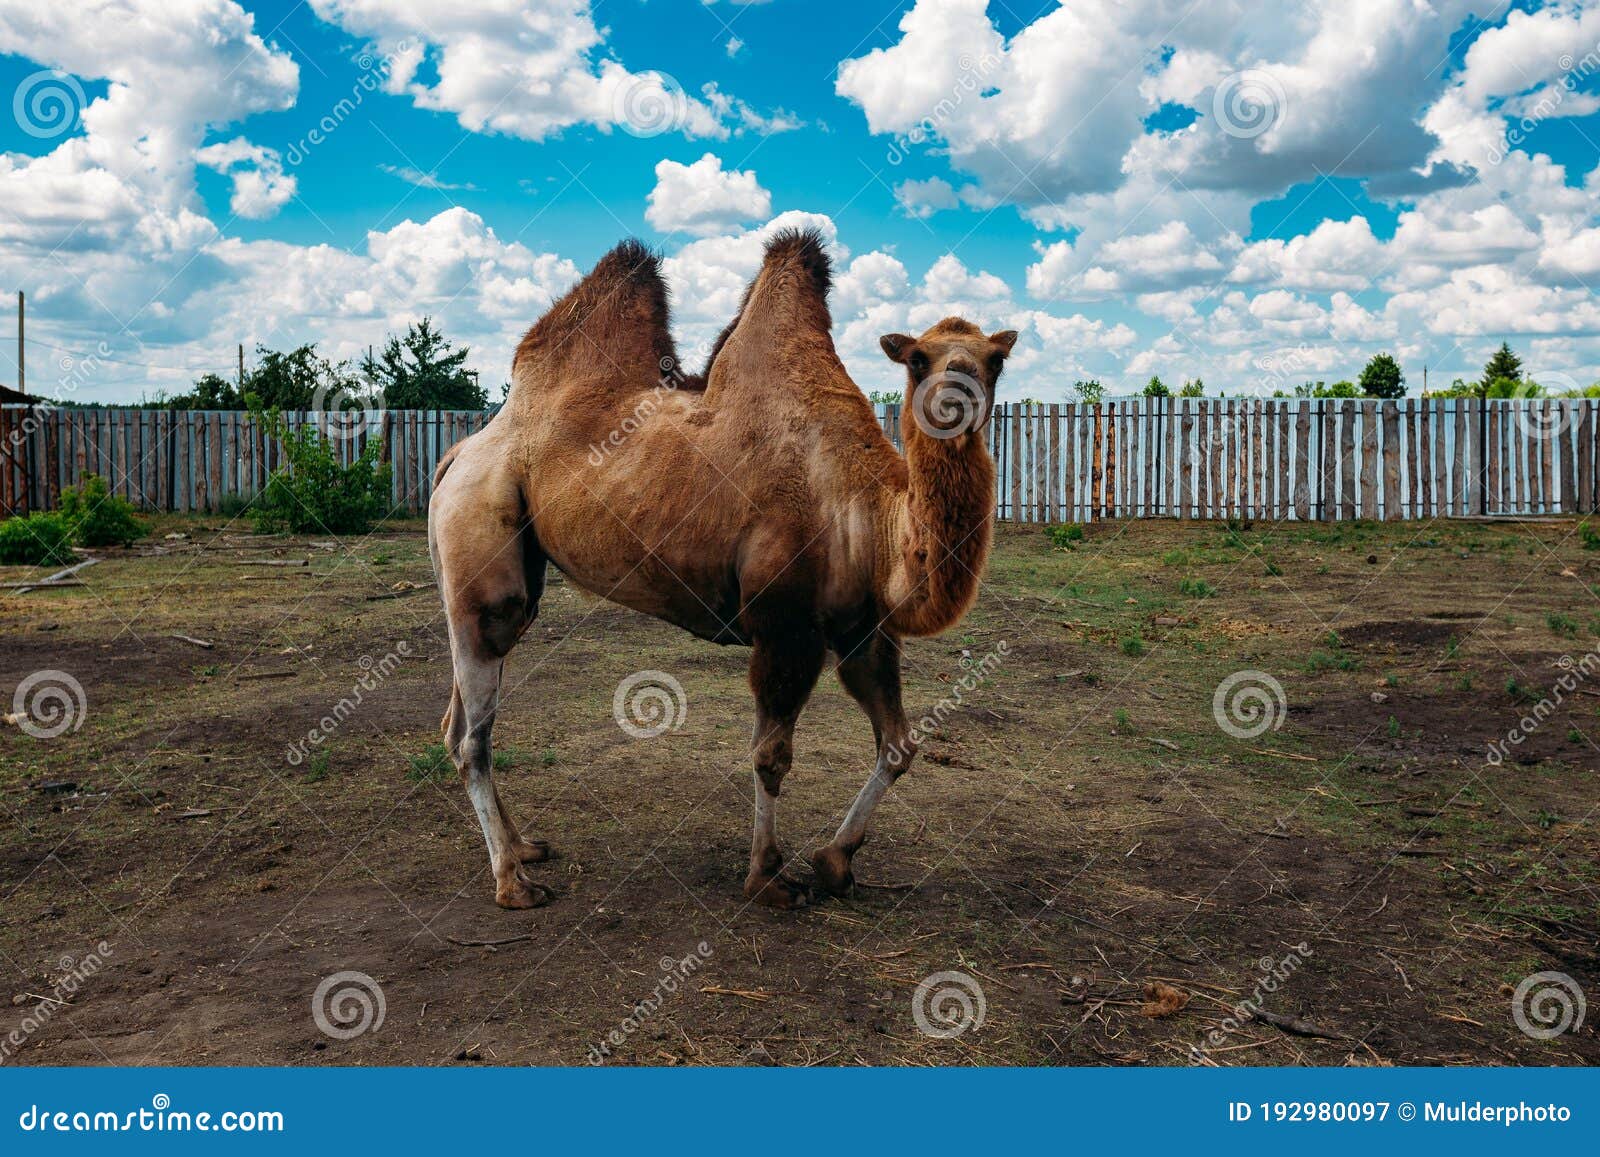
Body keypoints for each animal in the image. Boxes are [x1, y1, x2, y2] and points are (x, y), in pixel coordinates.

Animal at [428, 228, 1017, 910]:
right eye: (919, 359)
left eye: (994, 360)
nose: (958, 389)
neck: (869, 515)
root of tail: (461, 451)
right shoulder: (785, 627)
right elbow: (772, 756)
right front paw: (768, 877)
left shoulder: (862, 632)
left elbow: (898, 747)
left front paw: (835, 860)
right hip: (481, 543)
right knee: (473, 731)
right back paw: (513, 883)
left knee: (458, 722)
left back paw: (524, 848)